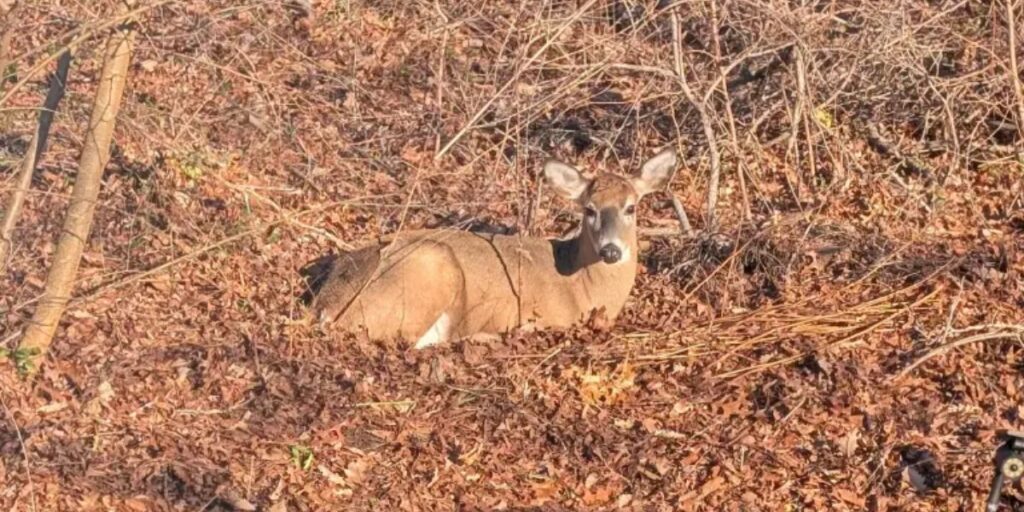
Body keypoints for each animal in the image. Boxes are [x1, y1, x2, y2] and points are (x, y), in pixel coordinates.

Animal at [311, 147, 678, 349]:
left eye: (631, 207)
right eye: (589, 209)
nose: (611, 251)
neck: (581, 287)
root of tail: (327, 306)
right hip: (430, 268)